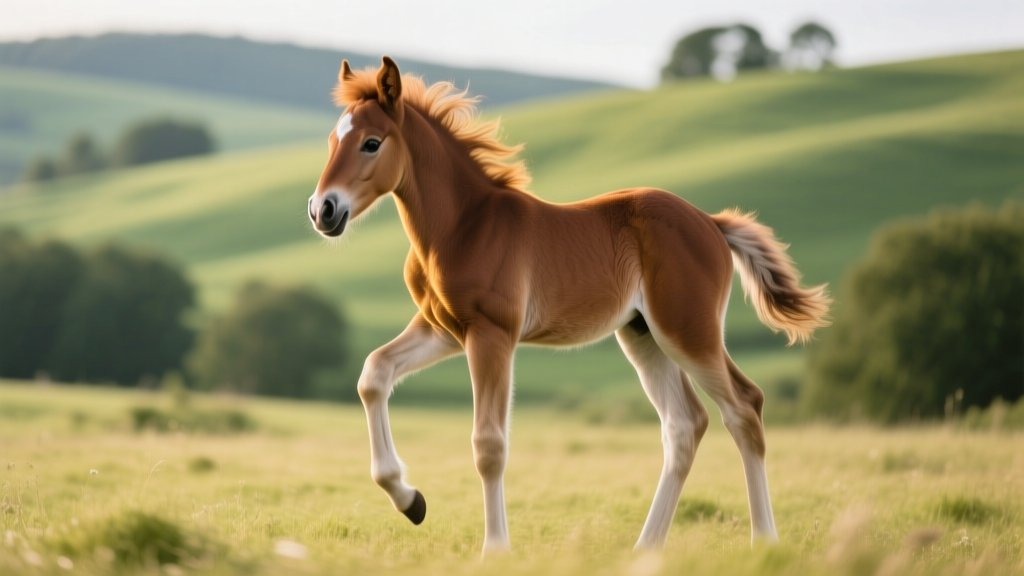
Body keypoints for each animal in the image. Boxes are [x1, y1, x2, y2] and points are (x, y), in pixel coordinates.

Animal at [307, 56, 831, 554]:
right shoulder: (443, 329)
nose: (322, 210)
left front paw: (494, 550)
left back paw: (764, 542)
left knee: (744, 406)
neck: (462, 226)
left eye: (371, 143)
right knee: (686, 425)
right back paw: (644, 549)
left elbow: (489, 444)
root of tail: (711, 222)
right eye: (332, 139)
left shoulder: (492, 334)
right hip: (642, 335)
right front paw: (410, 500)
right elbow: (373, 374)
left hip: (687, 331)